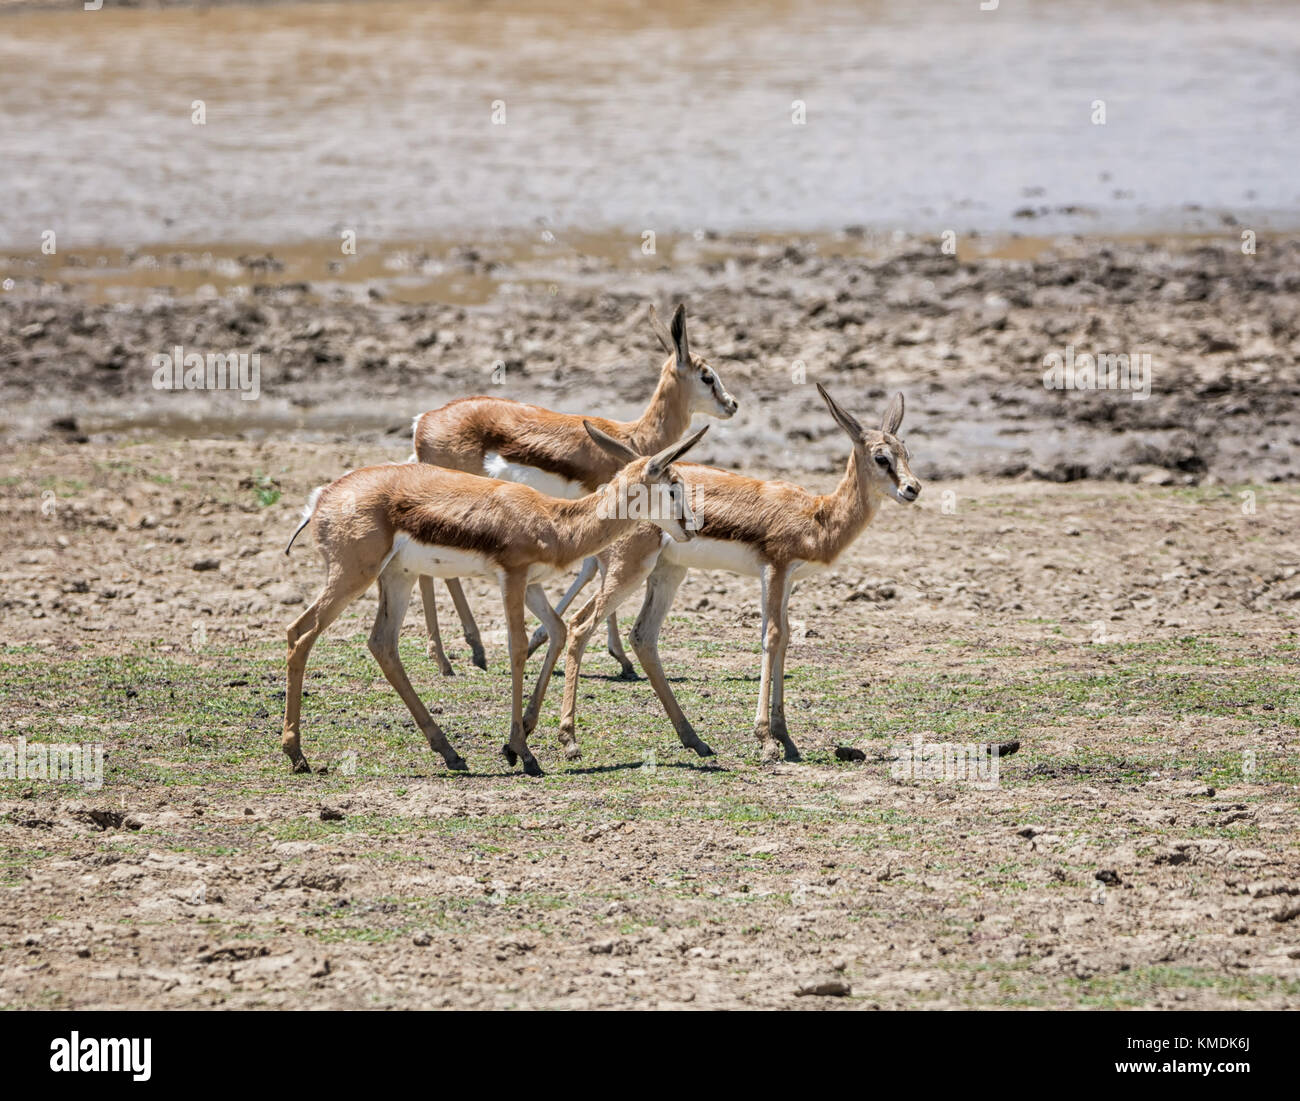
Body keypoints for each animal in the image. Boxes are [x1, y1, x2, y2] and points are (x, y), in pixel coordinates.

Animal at [280, 424, 709, 778]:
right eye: (674, 487)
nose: (692, 527)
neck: (554, 523)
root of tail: (323, 497)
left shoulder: (533, 585)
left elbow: (556, 630)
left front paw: (518, 742)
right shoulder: (512, 578)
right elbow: (517, 647)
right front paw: (525, 751)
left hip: (397, 577)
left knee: (381, 643)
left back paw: (450, 753)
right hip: (354, 576)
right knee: (300, 633)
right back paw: (297, 754)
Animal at [411, 303, 736, 677]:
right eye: (708, 376)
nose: (732, 404)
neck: (634, 437)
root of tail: (423, 421)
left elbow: (590, 567)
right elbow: (594, 568)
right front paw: (617, 656)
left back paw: (466, 652)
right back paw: (451, 656)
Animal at [555, 384, 921, 764]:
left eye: (906, 452)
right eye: (882, 458)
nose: (913, 488)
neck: (818, 516)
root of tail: (606, 494)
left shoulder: (786, 581)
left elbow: (784, 638)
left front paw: (785, 738)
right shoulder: (774, 570)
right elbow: (772, 637)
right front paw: (766, 740)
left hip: (667, 573)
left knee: (642, 636)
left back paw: (694, 740)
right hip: (630, 571)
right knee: (580, 626)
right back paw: (569, 740)